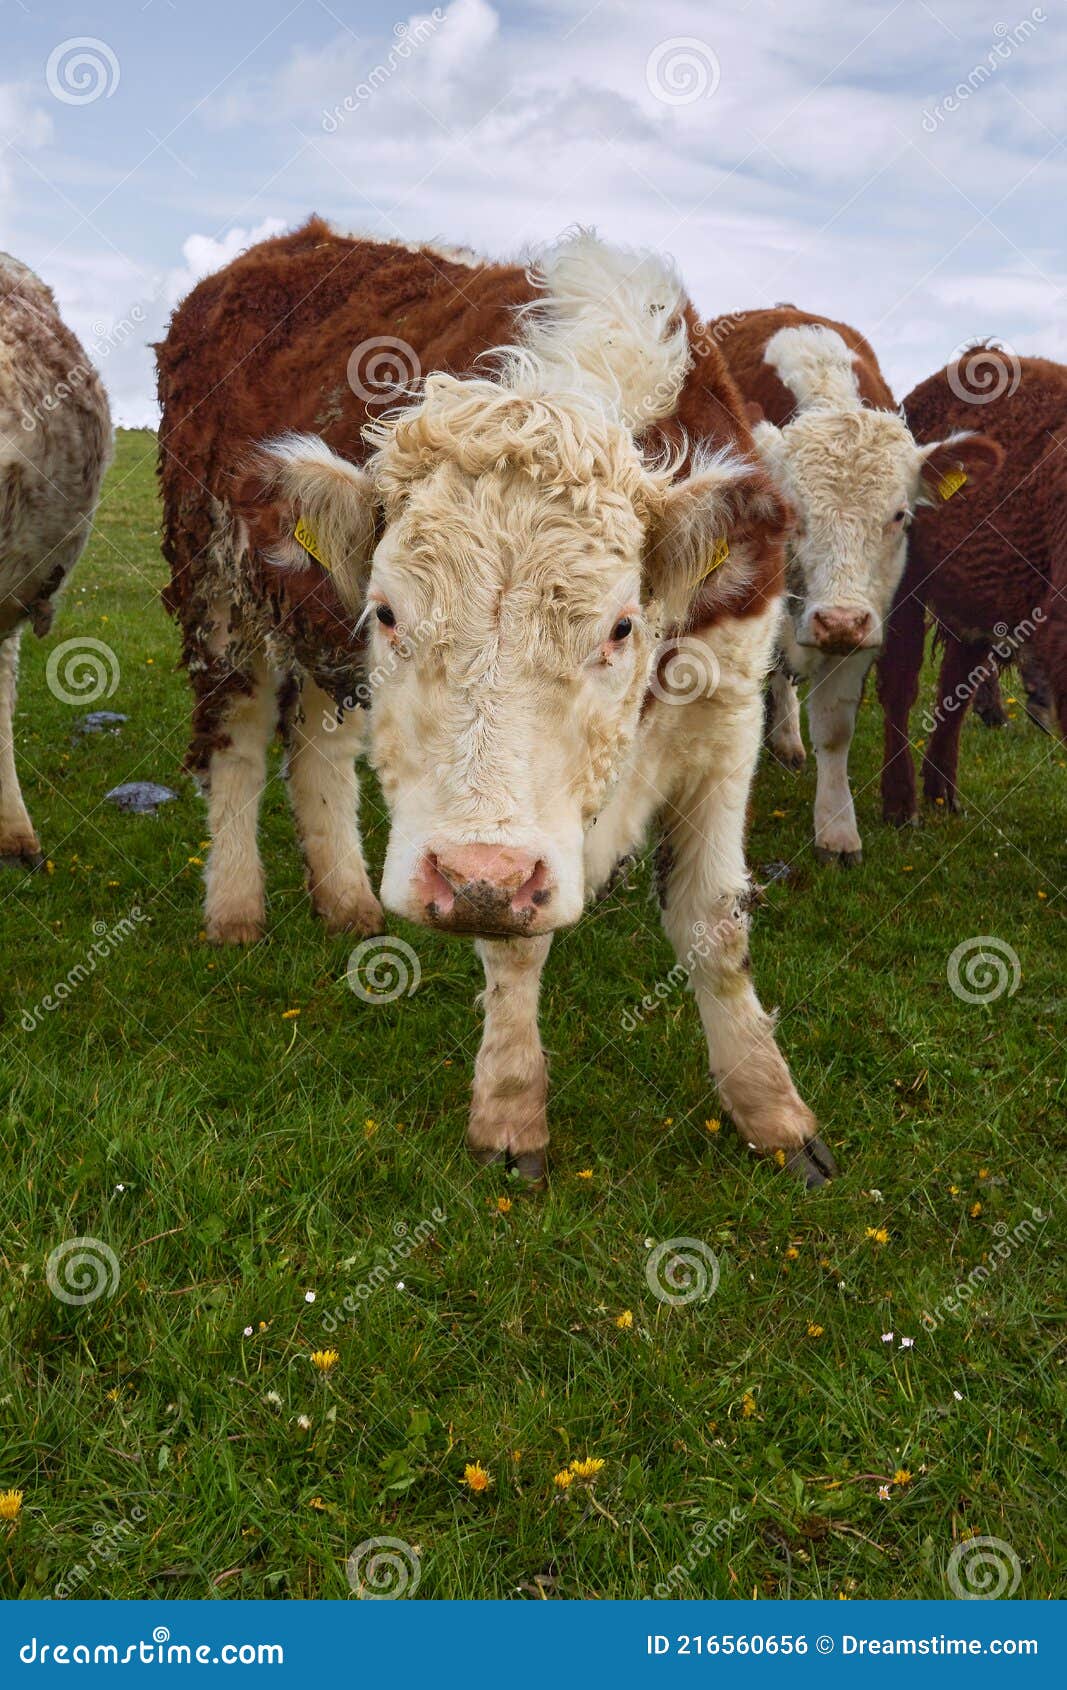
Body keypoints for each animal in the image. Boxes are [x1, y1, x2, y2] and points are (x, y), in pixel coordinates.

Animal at [157, 218, 836, 1187]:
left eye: (620, 627)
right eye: (389, 611)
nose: (472, 875)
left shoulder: (726, 718)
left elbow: (714, 918)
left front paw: (771, 1109)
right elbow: (516, 940)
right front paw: (511, 1114)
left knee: (318, 744)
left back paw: (346, 898)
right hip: (219, 593)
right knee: (240, 747)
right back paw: (235, 907)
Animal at [708, 308, 1001, 863]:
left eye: (899, 515)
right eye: (792, 513)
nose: (838, 620)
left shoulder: (866, 626)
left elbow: (836, 728)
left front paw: (837, 828)